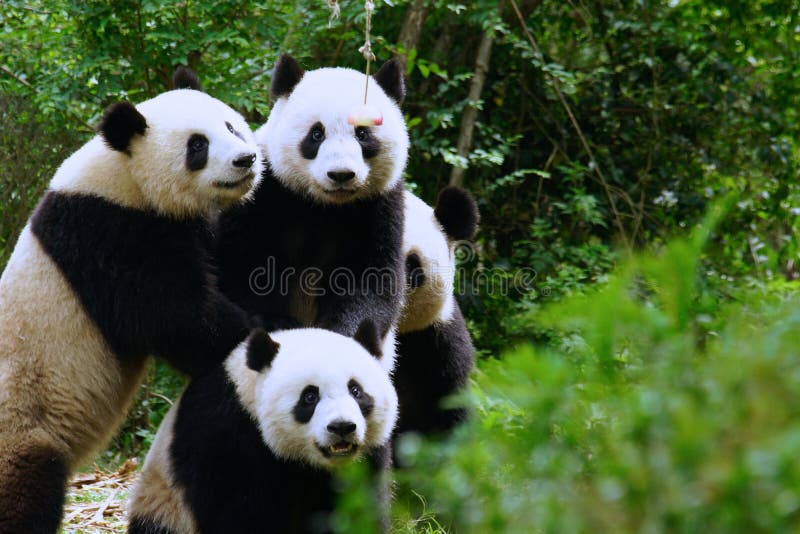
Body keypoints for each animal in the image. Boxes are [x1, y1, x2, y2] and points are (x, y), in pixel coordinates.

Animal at [0, 70, 261, 533]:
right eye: (198, 146)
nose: (246, 160)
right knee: (26, 483)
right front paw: (255, 329)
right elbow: (179, 318)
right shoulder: (108, 232)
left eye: (232, 126)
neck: (123, 173)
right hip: (20, 422)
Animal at [127, 321, 398, 534]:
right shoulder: (225, 440)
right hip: (163, 504)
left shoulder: (367, 459)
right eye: (310, 397)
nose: (341, 427)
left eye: (356, 391)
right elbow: (238, 515)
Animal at [215, 54, 408, 373]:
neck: (326, 204)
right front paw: (278, 322)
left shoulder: (379, 206)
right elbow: (243, 264)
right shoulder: (265, 191)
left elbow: (372, 278)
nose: (341, 174)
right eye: (316, 134)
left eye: (363, 134)